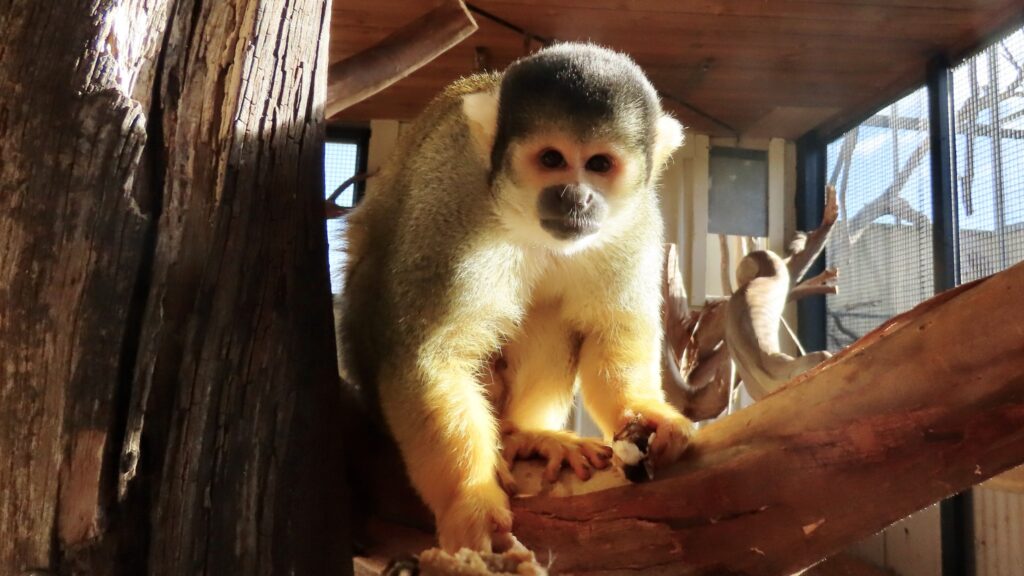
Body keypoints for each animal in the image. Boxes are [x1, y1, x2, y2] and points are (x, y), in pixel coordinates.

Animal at [338, 43, 692, 553]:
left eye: (599, 165)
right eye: (551, 158)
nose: (576, 198)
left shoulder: (637, 219)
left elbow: (613, 329)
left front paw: (647, 414)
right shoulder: (451, 200)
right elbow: (431, 353)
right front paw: (468, 499)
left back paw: (527, 433)